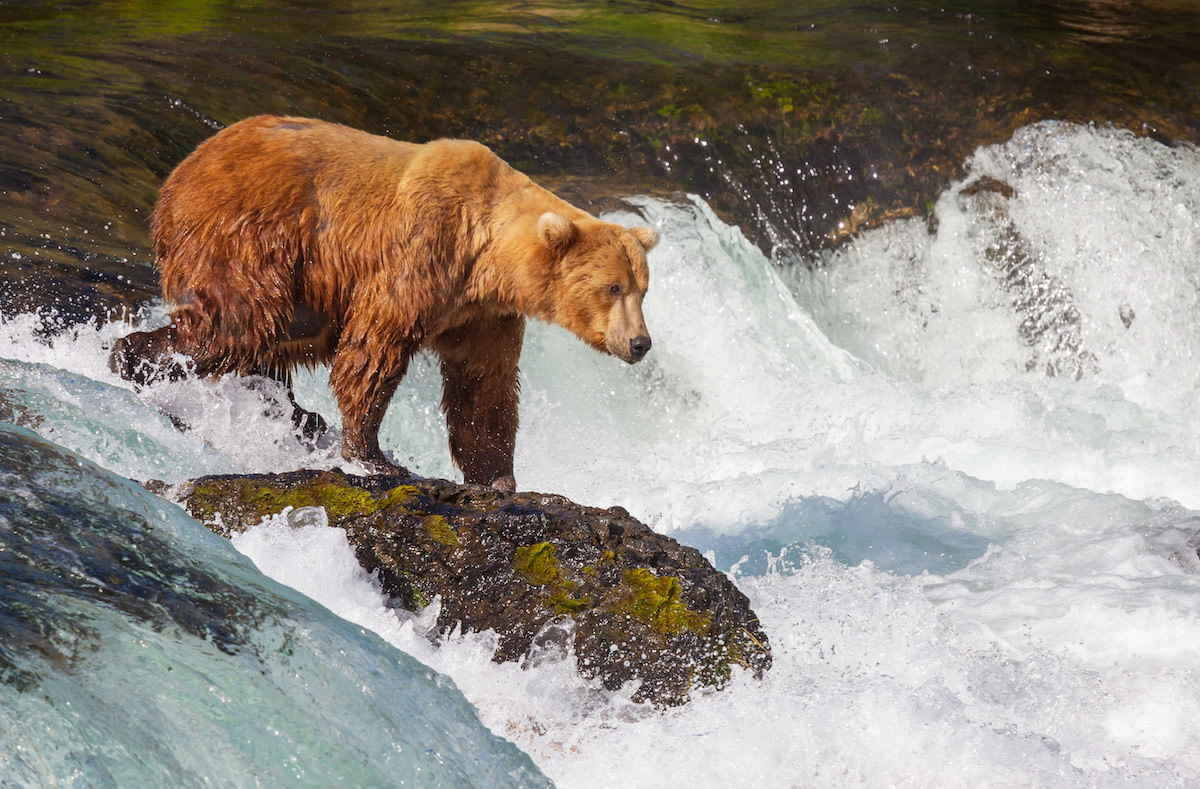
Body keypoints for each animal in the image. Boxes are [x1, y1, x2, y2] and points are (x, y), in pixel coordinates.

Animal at [110, 115, 658, 492]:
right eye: (613, 287)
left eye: (643, 287)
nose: (640, 343)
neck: (485, 257)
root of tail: (178, 173)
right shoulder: (420, 256)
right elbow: (373, 352)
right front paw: (374, 454)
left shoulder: (482, 315)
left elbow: (484, 386)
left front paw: (498, 475)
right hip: (246, 236)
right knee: (233, 326)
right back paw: (132, 357)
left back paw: (294, 414)